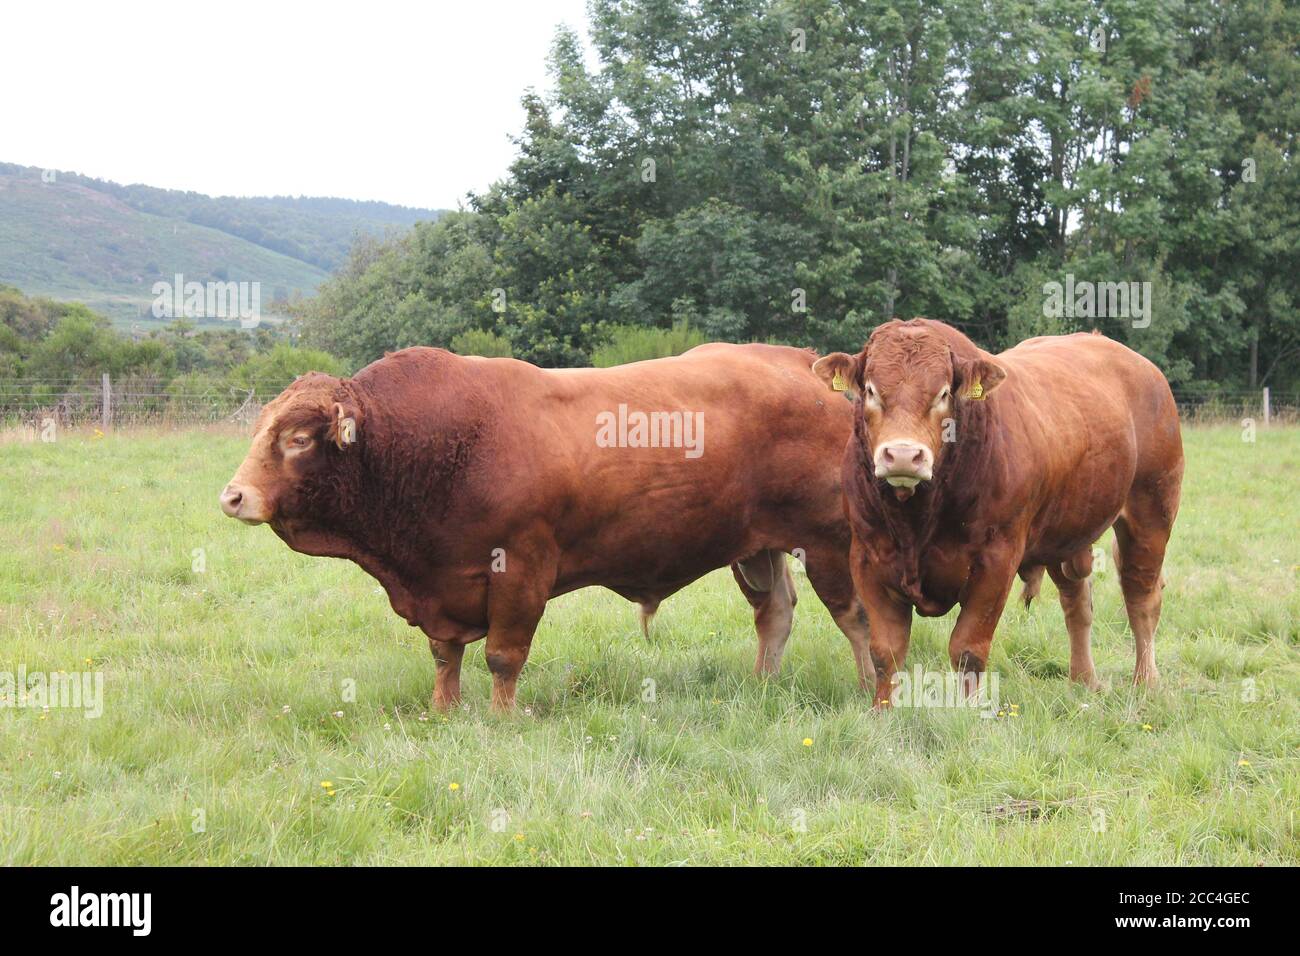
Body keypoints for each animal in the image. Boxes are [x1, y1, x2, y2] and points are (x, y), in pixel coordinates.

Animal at [219, 343, 873, 710]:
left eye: (298, 439)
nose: (233, 496)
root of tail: (800, 367)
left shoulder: (520, 569)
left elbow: (503, 656)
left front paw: (502, 718)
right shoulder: (441, 585)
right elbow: (443, 654)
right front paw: (444, 710)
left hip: (829, 543)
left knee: (856, 618)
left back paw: (873, 690)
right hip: (757, 547)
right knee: (775, 613)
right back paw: (763, 686)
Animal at [812, 319, 1183, 706]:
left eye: (943, 394)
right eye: (870, 390)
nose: (902, 455)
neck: (915, 521)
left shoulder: (996, 561)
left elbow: (968, 648)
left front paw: (968, 710)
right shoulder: (867, 558)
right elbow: (886, 651)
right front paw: (882, 710)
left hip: (1152, 512)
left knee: (1142, 599)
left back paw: (1145, 682)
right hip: (1066, 530)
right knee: (1077, 602)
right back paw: (1083, 680)